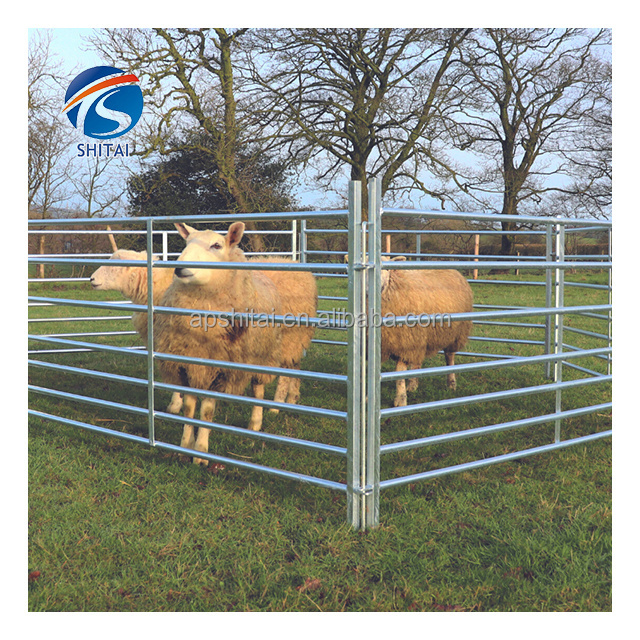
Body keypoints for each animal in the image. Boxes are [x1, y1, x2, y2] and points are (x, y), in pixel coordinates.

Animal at [155, 221, 283, 465]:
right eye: (186, 242)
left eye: (216, 245)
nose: (179, 269)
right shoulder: (187, 364)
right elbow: (189, 408)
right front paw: (184, 447)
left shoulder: (220, 369)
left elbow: (206, 412)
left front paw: (201, 453)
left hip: (260, 357)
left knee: (258, 390)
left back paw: (255, 424)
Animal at [380, 256, 473, 407]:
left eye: (387, 268)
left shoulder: (406, 343)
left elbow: (399, 372)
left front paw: (400, 400)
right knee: (417, 363)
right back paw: (413, 385)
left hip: (454, 334)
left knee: (449, 357)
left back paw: (451, 383)